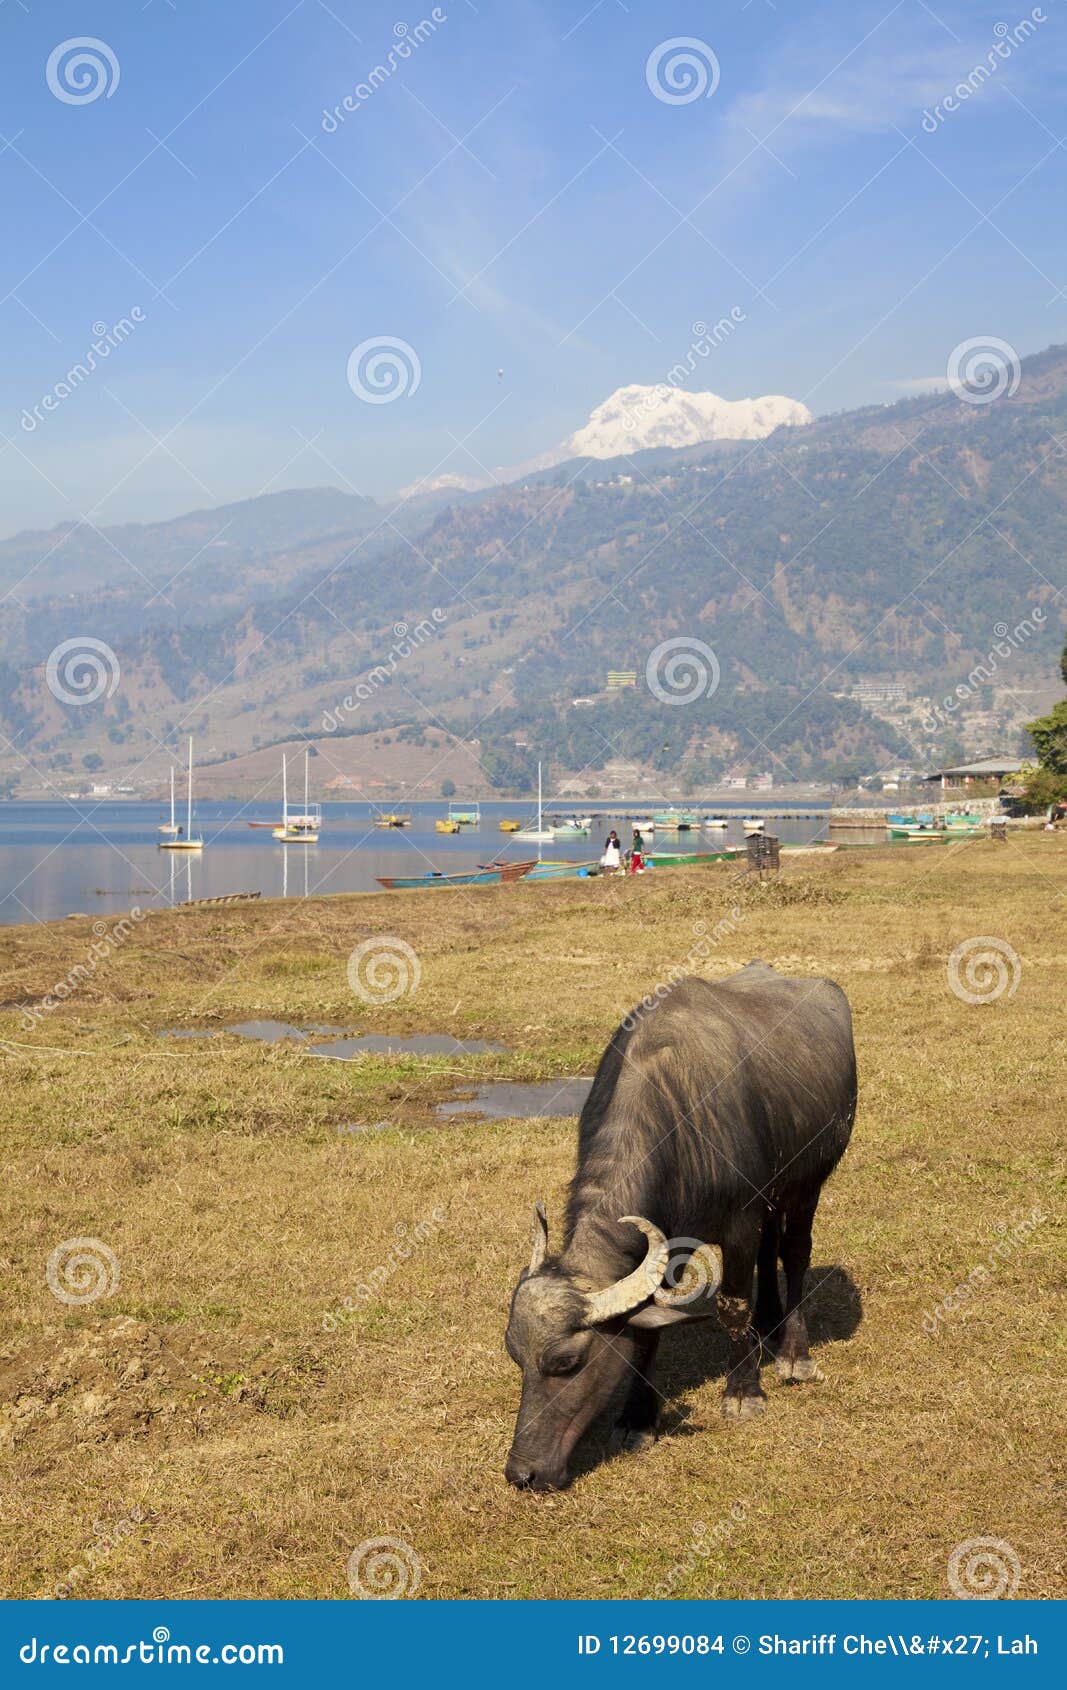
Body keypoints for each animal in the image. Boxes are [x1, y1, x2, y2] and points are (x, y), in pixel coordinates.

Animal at [505, 963, 857, 1491]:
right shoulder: (674, 1240)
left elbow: (732, 1305)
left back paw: (794, 1351)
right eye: (516, 1356)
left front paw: (743, 1392)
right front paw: (637, 1418)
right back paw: (769, 1324)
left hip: (808, 1179)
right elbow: (649, 1330)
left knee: (794, 1253)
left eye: (567, 1362)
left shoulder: (739, 1221)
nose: (522, 1473)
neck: (674, 1112)